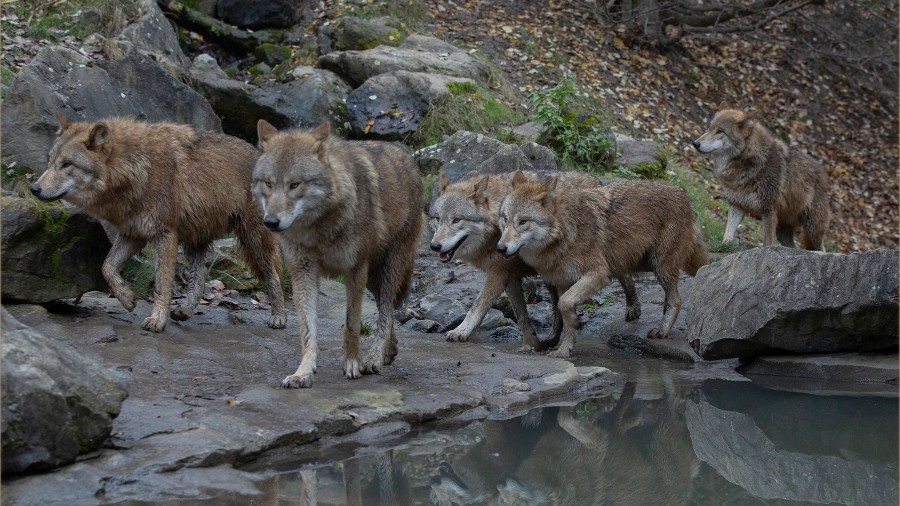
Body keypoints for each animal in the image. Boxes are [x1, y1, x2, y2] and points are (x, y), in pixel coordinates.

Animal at [32, 116, 287, 332]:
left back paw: (279, 317)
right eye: (50, 162)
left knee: (274, 275)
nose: (35, 189)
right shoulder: (133, 234)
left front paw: (157, 320)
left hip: (253, 239)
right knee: (200, 280)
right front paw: (127, 298)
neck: (136, 170)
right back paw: (184, 311)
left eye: (67, 164)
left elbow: (162, 283)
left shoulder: (165, 235)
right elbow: (107, 267)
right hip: (195, 241)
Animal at [253, 119, 421, 388]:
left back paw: (373, 357)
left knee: (386, 311)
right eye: (268, 183)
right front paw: (303, 373)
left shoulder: (355, 271)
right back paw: (389, 351)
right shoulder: (303, 273)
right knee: (388, 311)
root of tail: (407, 157)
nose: (270, 222)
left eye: (294, 184)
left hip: (388, 269)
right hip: (374, 278)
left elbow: (351, 325)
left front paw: (353, 364)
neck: (318, 231)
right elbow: (307, 331)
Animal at [429, 171, 642, 349]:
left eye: (456, 220)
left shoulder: (498, 274)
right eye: (438, 219)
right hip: (551, 276)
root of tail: (592, 178)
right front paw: (531, 344)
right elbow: (521, 315)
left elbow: (477, 306)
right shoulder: (509, 277)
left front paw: (460, 331)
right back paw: (553, 339)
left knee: (625, 276)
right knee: (557, 308)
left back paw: (633, 309)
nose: (434, 246)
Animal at [496, 171, 708, 357]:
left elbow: (564, 304)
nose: (500, 248)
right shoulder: (562, 282)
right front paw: (564, 350)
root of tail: (682, 194)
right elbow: (565, 314)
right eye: (505, 219)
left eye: (523, 222)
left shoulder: (597, 273)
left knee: (676, 299)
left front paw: (574, 325)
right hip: (637, 262)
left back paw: (662, 330)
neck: (566, 232)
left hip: (659, 266)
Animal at [693, 108, 830, 250]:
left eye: (720, 131)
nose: (695, 143)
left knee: (822, 249)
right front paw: (724, 248)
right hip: (783, 232)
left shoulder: (768, 211)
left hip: (813, 230)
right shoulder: (737, 206)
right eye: (709, 129)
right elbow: (728, 234)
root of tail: (823, 172)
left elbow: (767, 243)